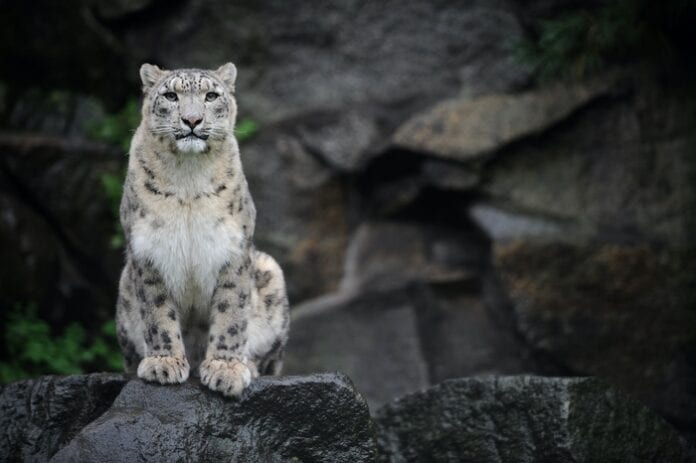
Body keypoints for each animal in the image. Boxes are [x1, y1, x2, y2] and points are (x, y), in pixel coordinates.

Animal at [115, 63, 289, 397]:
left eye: (211, 95)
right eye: (171, 95)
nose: (192, 120)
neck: (188, 178)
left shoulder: (233, 249)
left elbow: (231, 311)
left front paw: (225, 369)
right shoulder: (147, 251)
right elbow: (157, 311)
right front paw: (164, 363)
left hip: (271, 271)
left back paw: (247, 365)